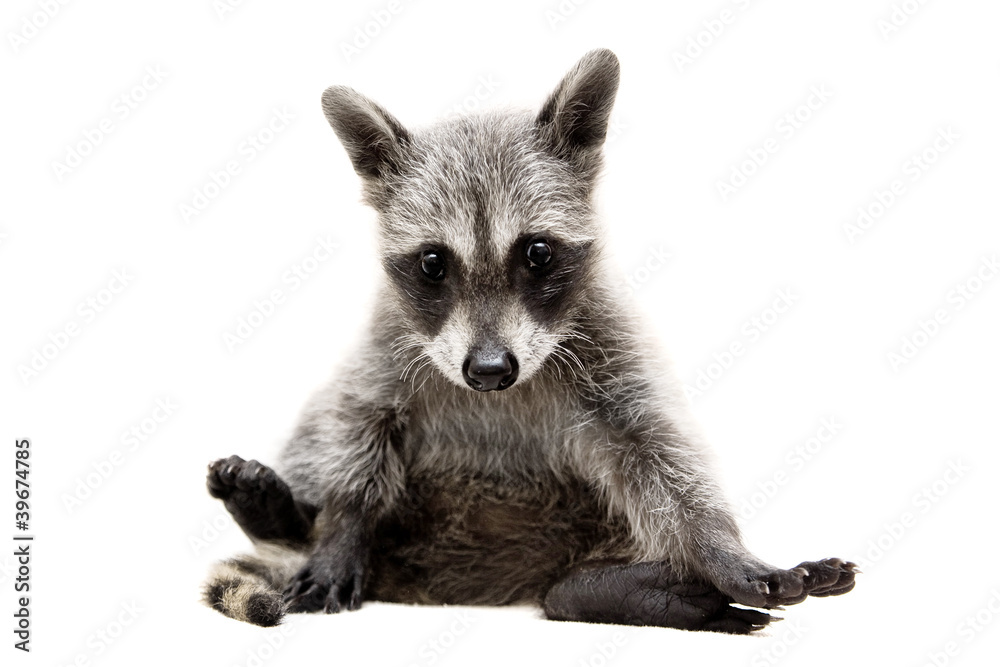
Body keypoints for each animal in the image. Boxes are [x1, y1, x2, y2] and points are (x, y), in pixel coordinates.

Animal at [203, 49, 857, 632]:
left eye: (537, 253)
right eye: (433, 263)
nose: (490, 370)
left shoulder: (610, 344)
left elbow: (659, 453)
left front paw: (722, 548)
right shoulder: (386, 347)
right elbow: (355, 421)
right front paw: (342, 525)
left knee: (569, 582)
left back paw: (626, 588)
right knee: (322, 422)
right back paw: (283, 516)